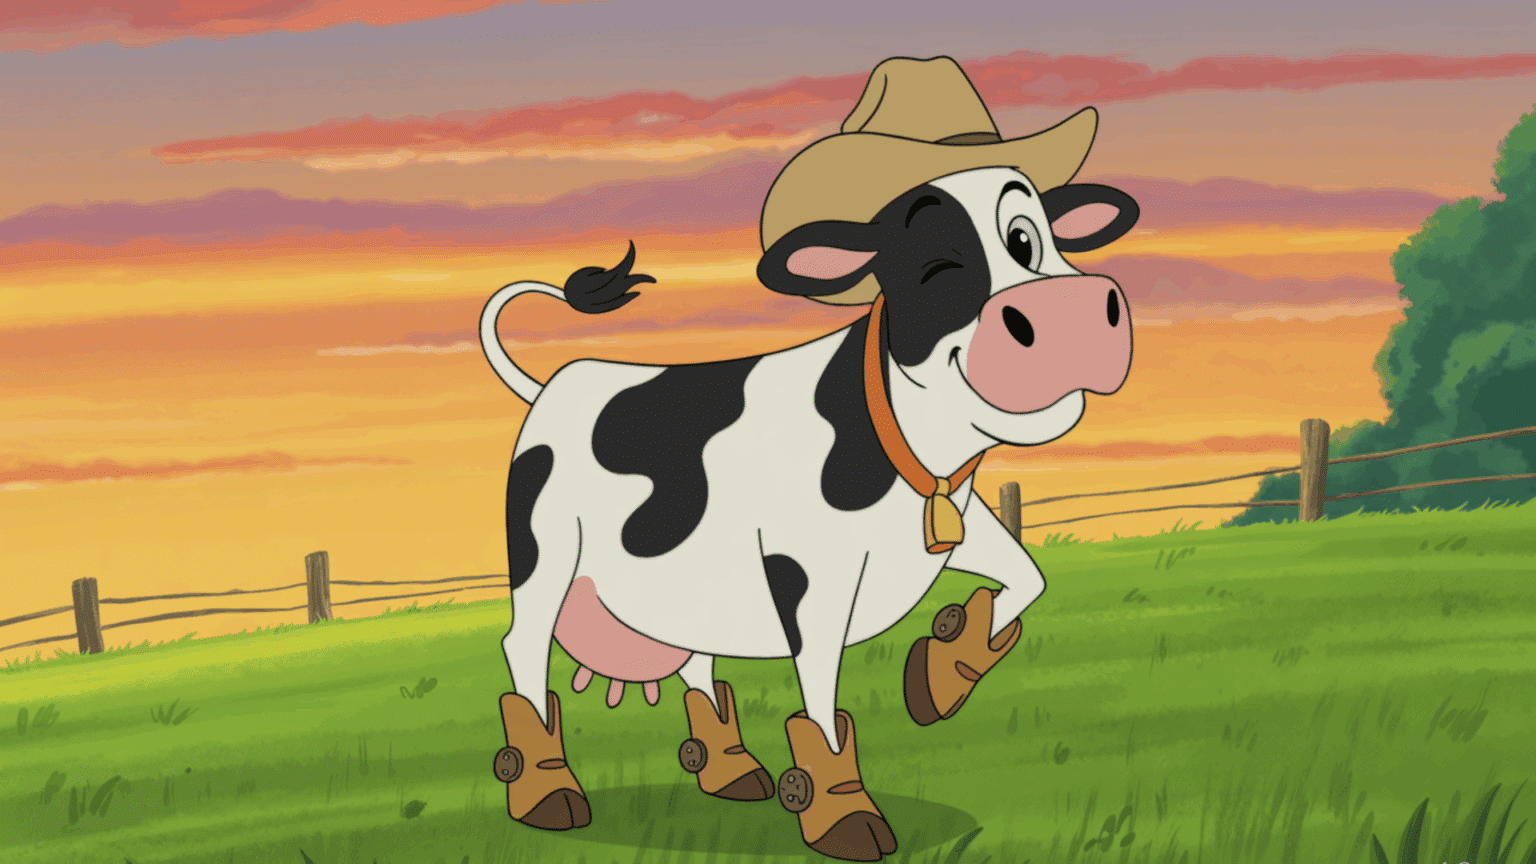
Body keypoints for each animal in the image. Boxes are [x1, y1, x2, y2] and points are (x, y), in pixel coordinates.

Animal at [482, 56, 1139, 862]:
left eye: (1030, 237)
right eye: (936, 265)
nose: (1073, 313)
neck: (915, 456)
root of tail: (557, 379)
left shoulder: (957, 526)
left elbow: (1029, 578)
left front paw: (943, 669)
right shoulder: (809, 577)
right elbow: (821, 696)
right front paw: (842, 815)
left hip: (690, 580)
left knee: (695, 659)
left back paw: (731, 772)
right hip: (545, 552)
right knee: (523, 647)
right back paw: (548, 793)